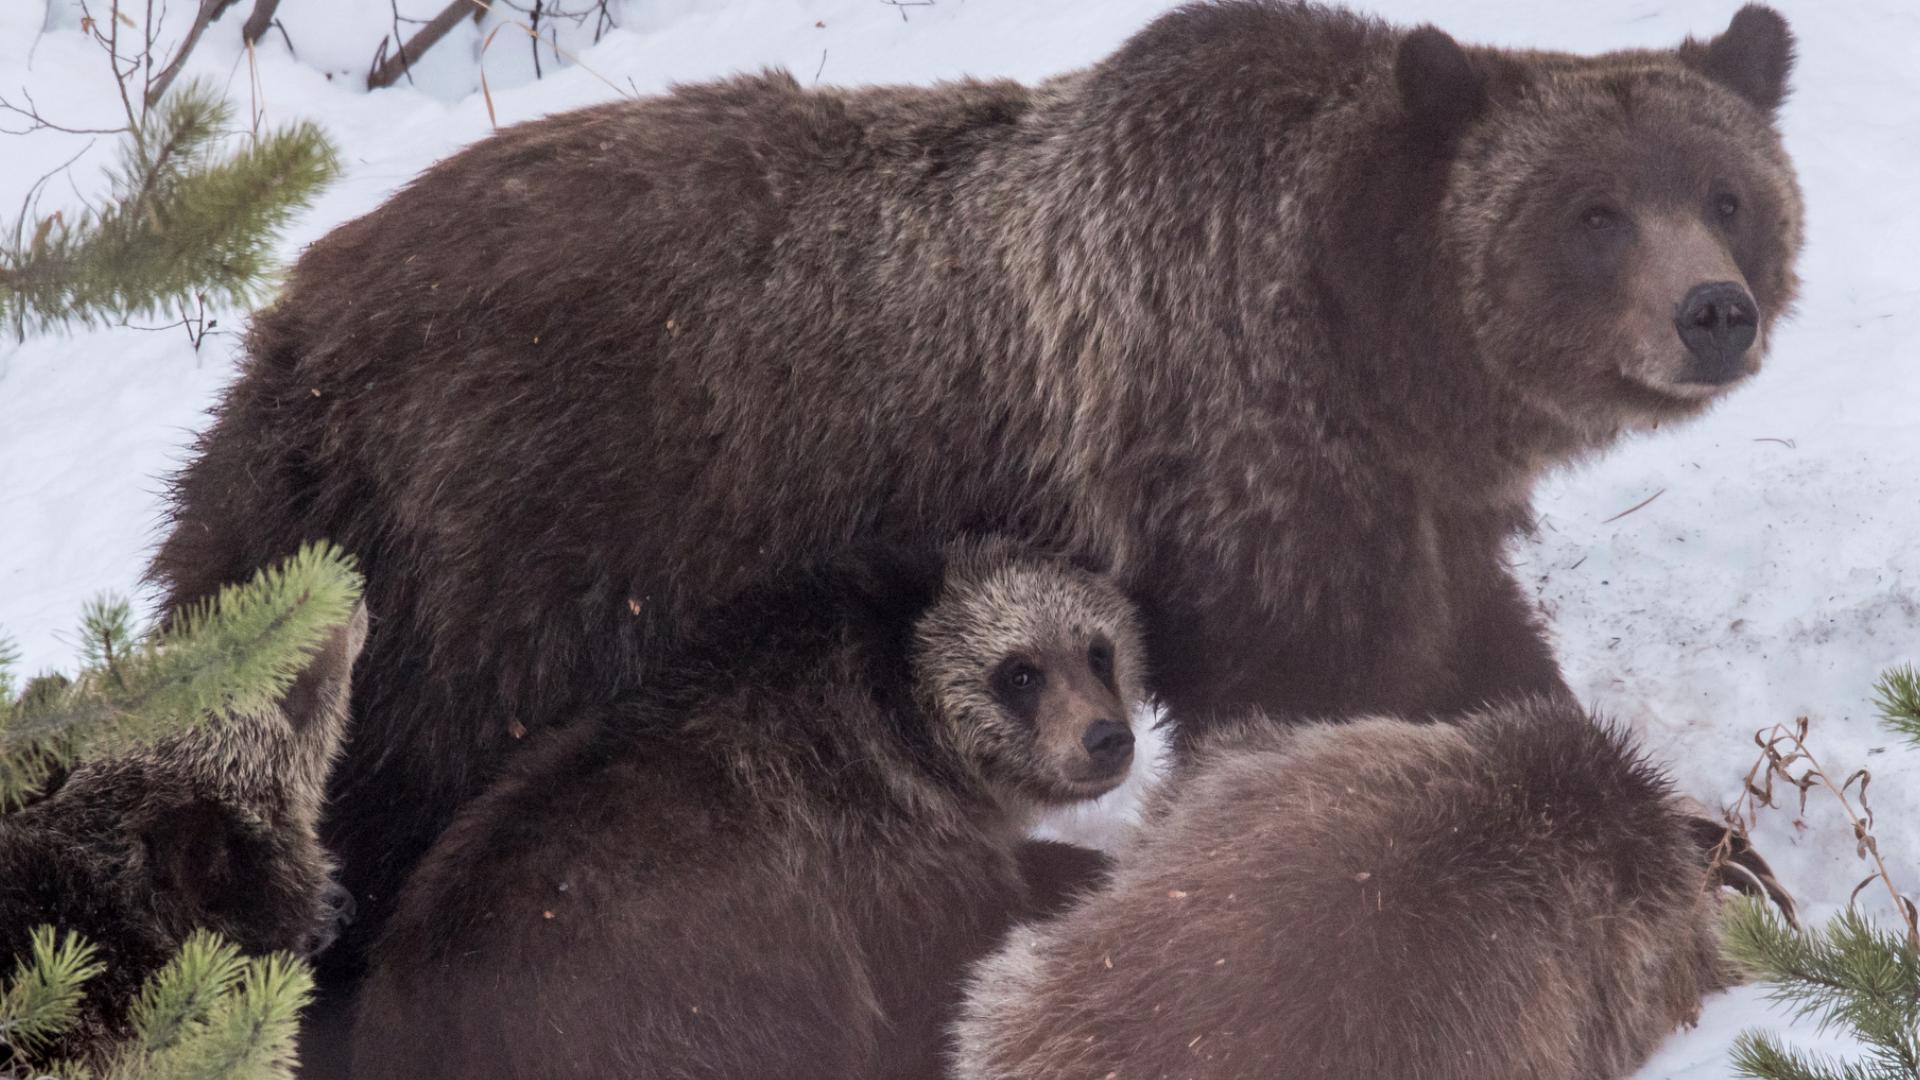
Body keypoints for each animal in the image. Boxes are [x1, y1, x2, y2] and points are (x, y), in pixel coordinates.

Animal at [149, 1, 1803, 986]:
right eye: (1594, 214)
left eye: (1727, 193)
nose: (1714, 313)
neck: (1371, 339)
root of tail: (288, 332)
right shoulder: (1240, 462)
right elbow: (1315, 702)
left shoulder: (1401, 505)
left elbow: (1475, 663)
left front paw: (1719, 850)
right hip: (510, 561)